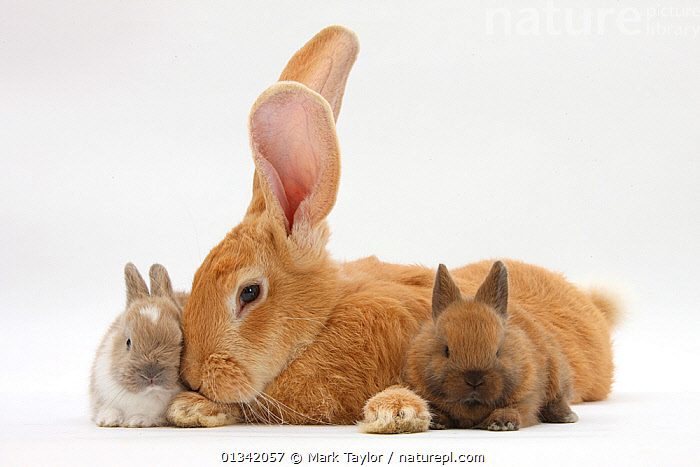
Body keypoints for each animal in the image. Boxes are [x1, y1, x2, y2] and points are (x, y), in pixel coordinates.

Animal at [396, 260, 619, 431]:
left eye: (498, 350)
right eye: (446, 350)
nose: (474, 380)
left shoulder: (527, 396)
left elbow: (516, 409)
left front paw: (502, 423)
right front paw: (436, 421)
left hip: (557, 380)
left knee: (557, 401)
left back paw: (566, 417)